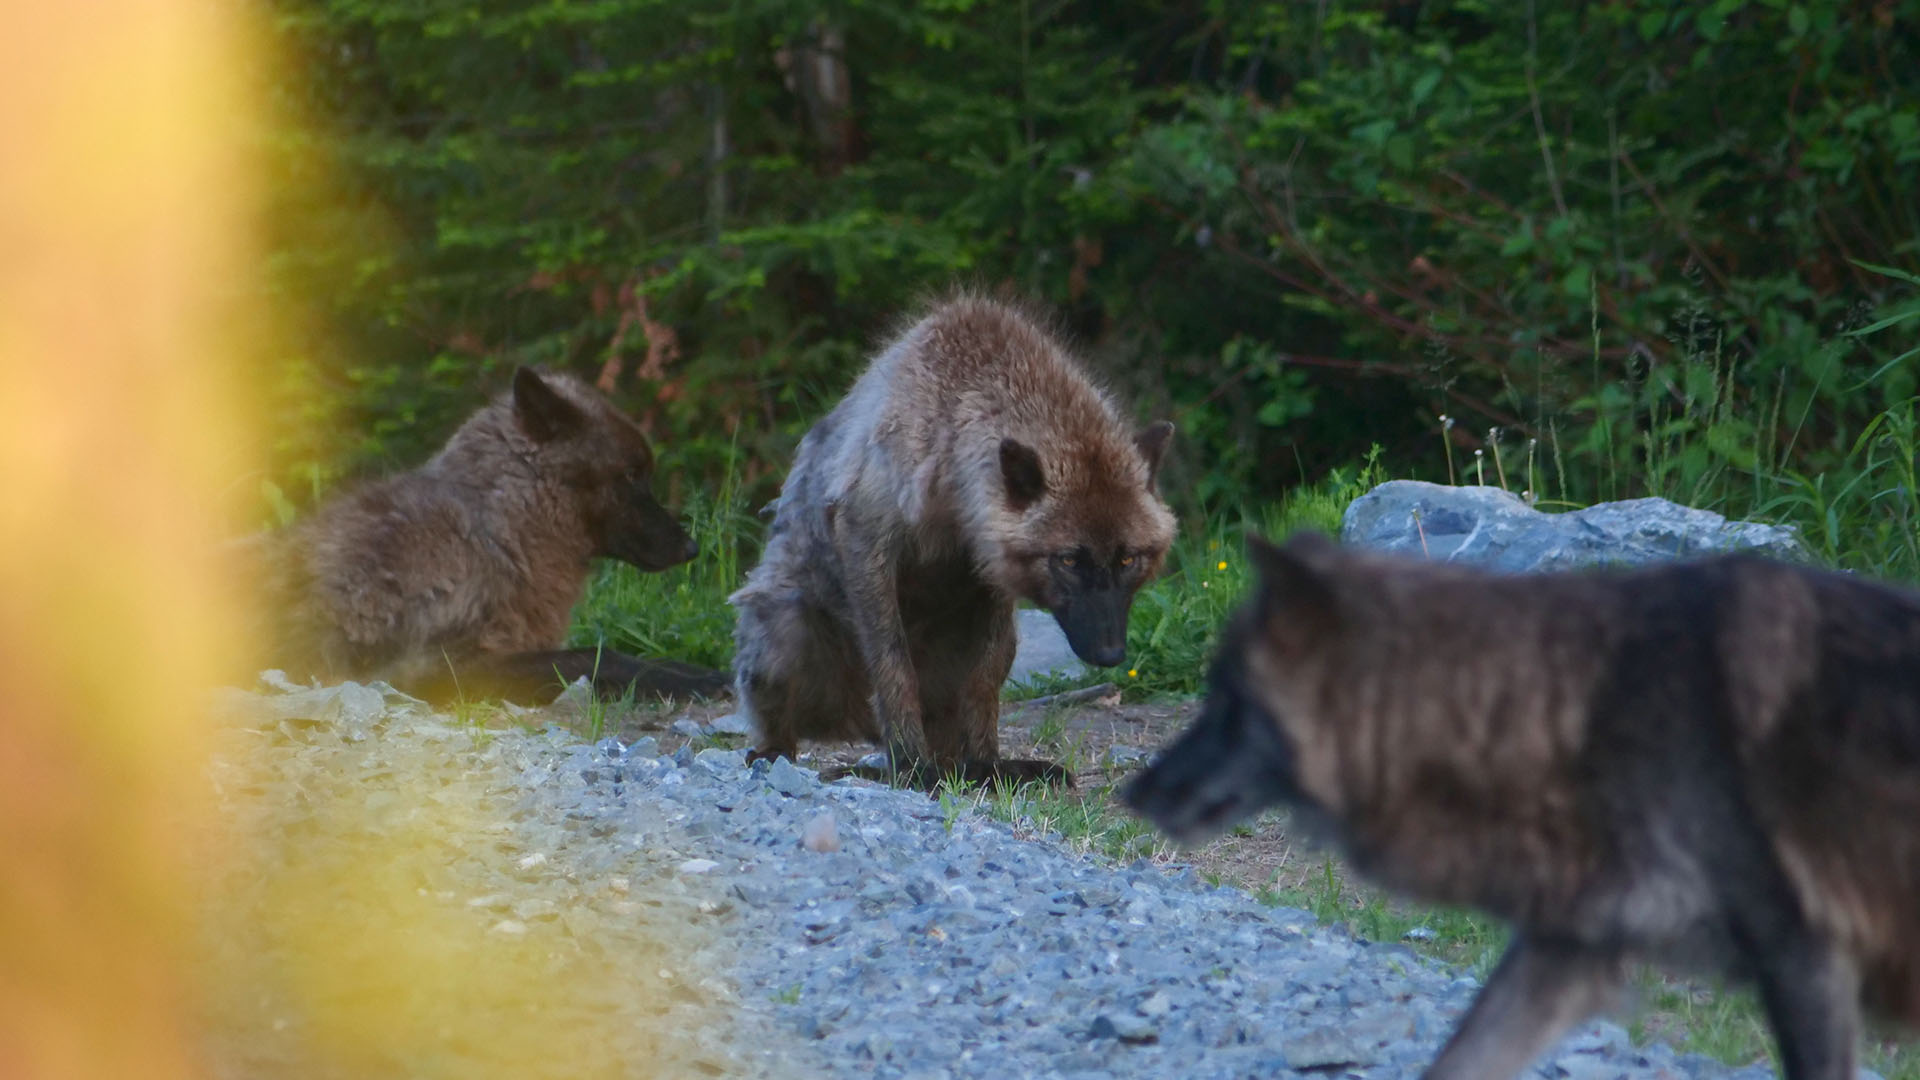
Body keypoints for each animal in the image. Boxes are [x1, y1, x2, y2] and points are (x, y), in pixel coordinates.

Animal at [253, 367, 729, 705]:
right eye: (631, 474)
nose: (691, 547)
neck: (497, 538)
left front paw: (701, 671)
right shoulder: (439, 668)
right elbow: (599, 658)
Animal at [729, 295, 1177, 786]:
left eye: (1128, 560)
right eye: (1069, 561)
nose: (1111, 654)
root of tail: (858, 727)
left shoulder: (991, 573)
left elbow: (982, 683)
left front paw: (988, 766)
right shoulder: (866, 536)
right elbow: (893, 667)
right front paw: (912, 766)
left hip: (1007, 641)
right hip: (786, 626)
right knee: (783, 738)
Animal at [1126, 532, 1920, 1080]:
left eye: (1226, 701)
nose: (1131, 792)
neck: (1569, 712)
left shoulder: (1807, 959)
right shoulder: (1570, 950)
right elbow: (1458, 1060)